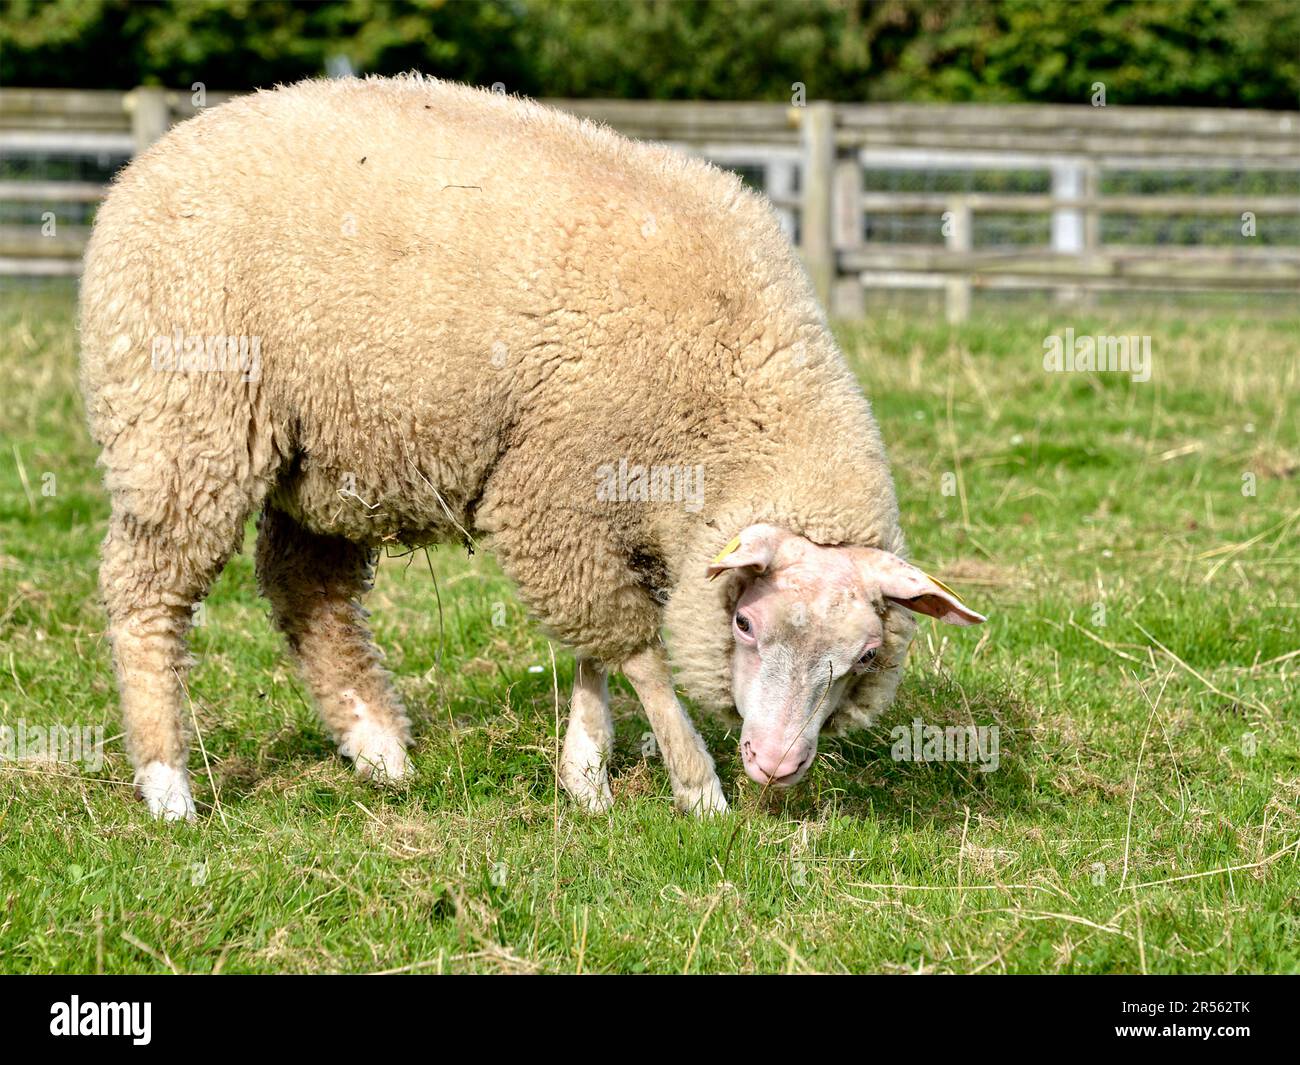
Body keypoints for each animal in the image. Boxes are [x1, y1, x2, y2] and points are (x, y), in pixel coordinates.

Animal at [79, 75, 984, 821]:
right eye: (748, 624)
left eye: (866, 652)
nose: (775, 764)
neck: (732, 390)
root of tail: (148, 163)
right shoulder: (553, 493)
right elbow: (635, 650)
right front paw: (696, 786)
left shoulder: (600, 509)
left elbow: (597, 651)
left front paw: (585, 771)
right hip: (184, 419)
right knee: (148, 594)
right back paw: (168, 784)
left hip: (328, 450)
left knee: (308, 591)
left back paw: (379, 748)